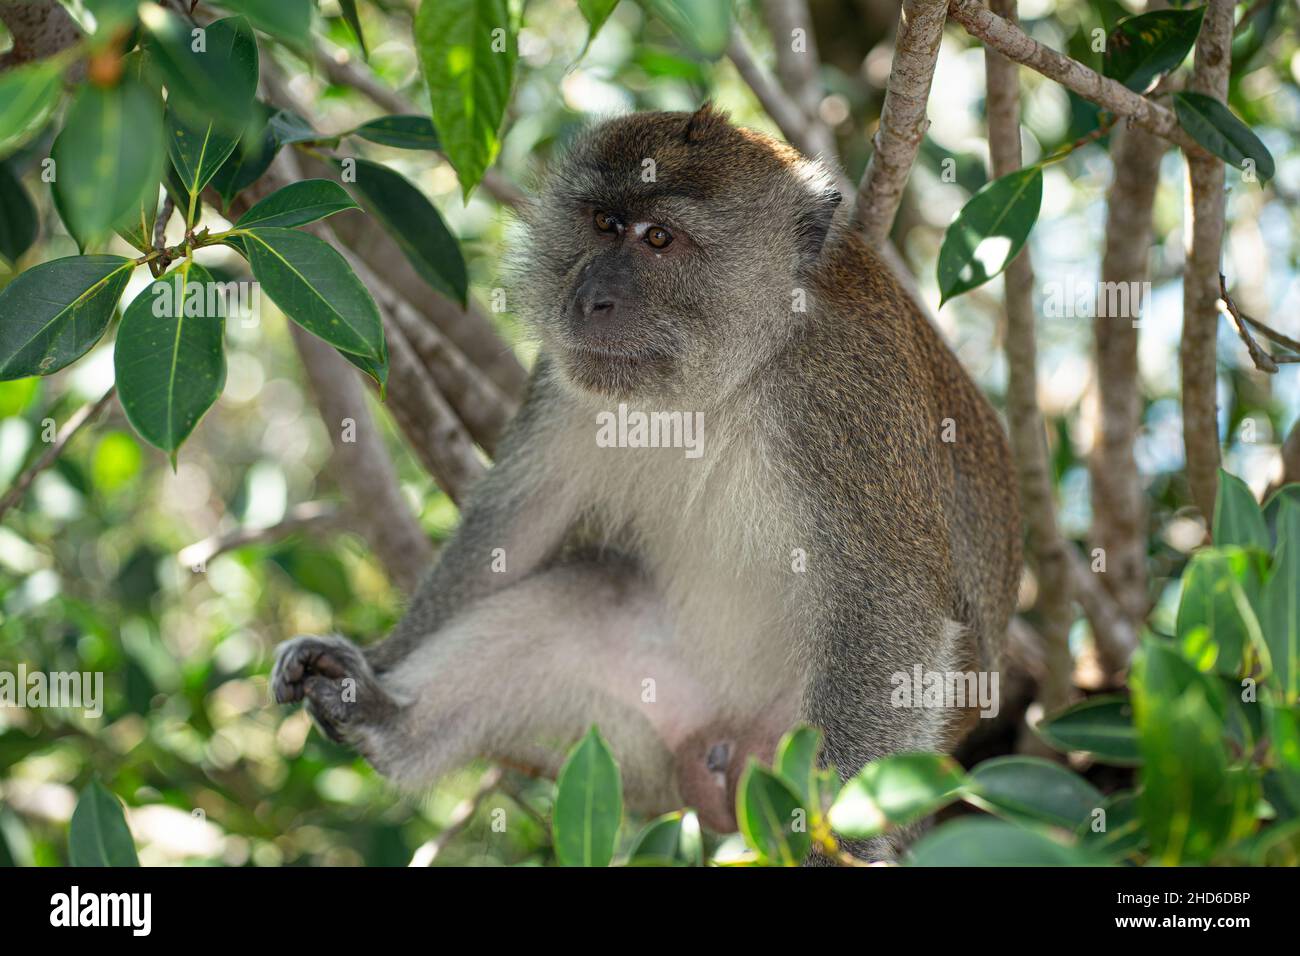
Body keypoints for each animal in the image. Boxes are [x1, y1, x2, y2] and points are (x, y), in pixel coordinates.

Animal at [272, 104, 1022, 859]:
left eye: (659, 239)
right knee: (580, 596)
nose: (591, 299)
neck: (731, 372)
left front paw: (832, 842)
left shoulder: (846, 401)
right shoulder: (566, 377)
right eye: (604, 222)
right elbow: (517, 520)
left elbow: (890, 609)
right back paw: (386, 720)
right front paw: (378, 661)